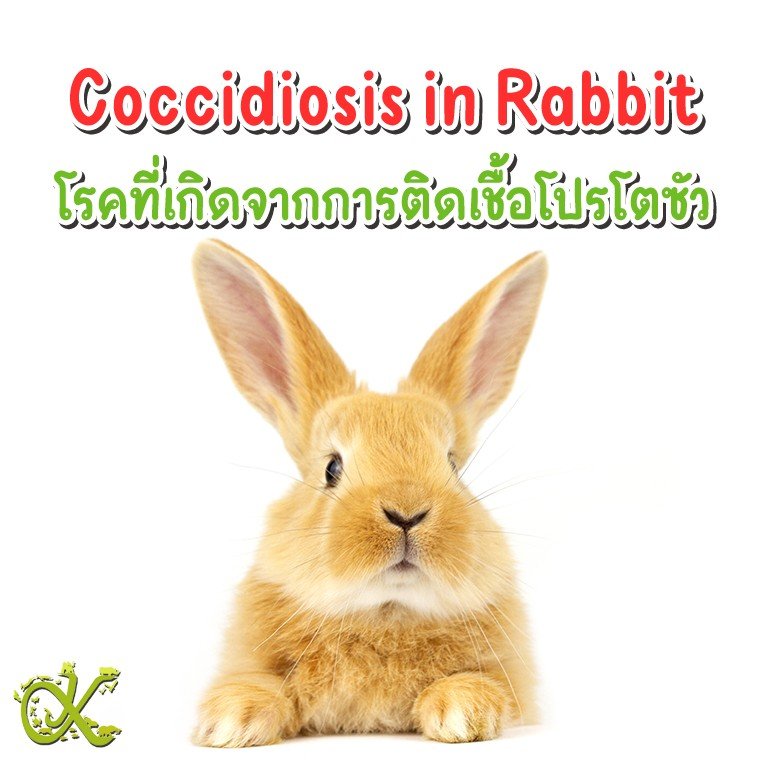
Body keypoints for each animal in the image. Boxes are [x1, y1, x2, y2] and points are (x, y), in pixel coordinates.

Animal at [191, 239, 547, 746]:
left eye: (453, 465)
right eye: (331, 469)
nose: (406, 512)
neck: (385, 612)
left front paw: (464, 712)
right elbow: (257, 682)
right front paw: (232, 720)